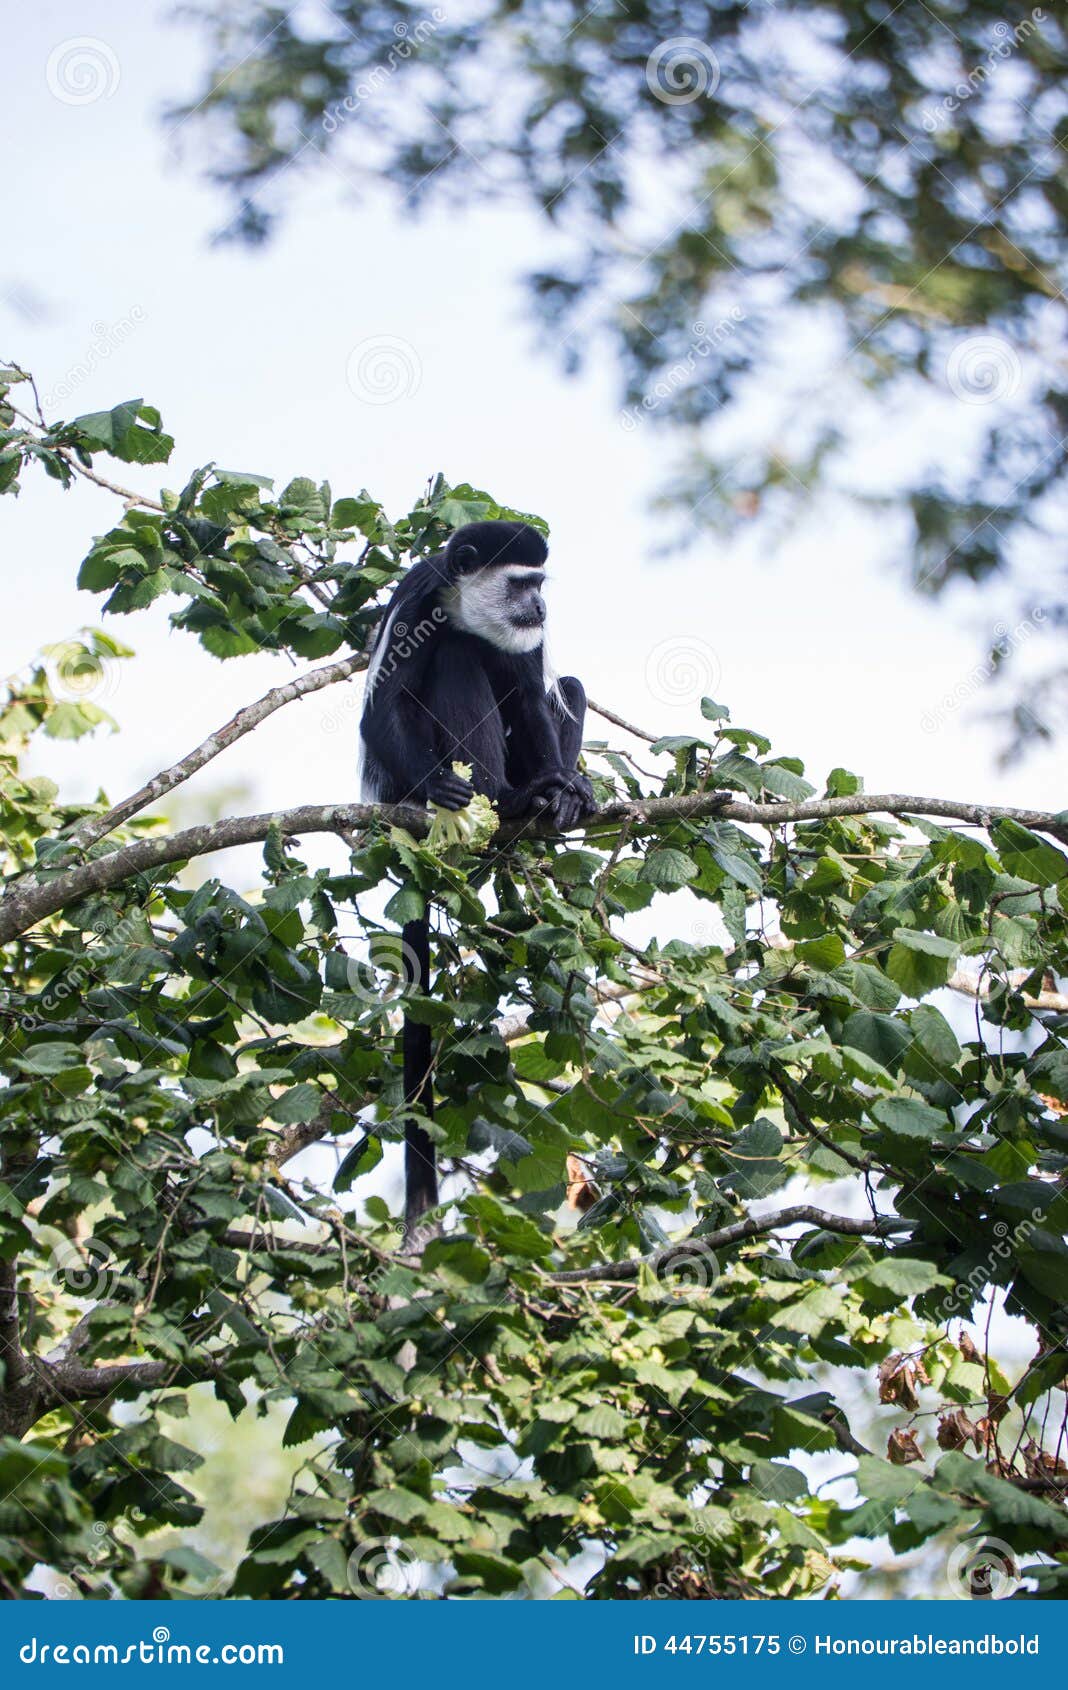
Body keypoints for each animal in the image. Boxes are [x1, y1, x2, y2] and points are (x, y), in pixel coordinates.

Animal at [358, 520, 597, 1235]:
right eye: (522, 583)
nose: (541, 606)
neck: (468, 606)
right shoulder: (416, 603)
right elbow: (383, 705)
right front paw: (452, 790)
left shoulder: (528, 642)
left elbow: (534, 696)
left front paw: (564, 789)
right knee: (456, 662)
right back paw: (501, 800)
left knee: (565, 687)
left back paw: (547, 800)